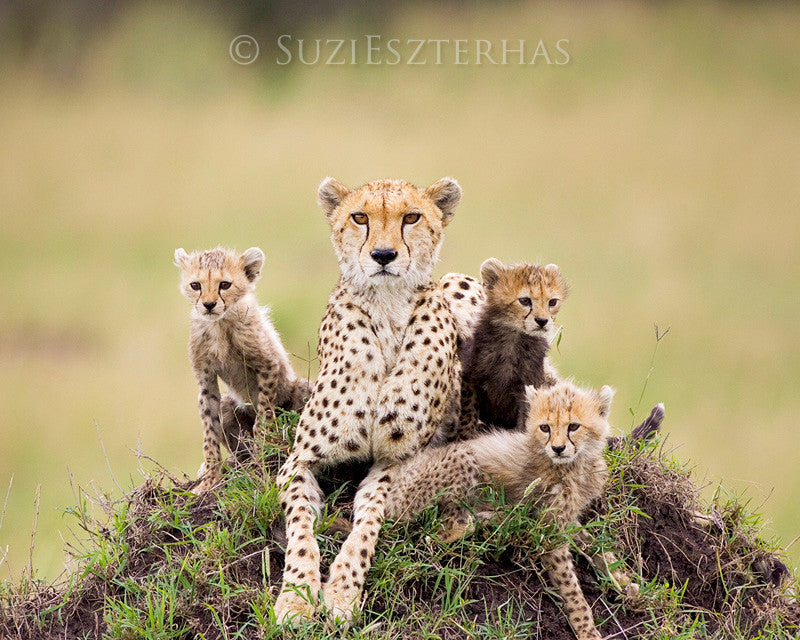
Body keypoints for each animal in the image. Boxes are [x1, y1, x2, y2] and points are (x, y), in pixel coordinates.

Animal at [273, 177, 463, 624]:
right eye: (360, 217)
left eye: (411, 217)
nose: (383, 255)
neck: (388, 308)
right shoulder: (298, 461)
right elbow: (300, 528)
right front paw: (297, 597)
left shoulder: (397, 461)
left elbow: (366, 524)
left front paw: (342, 593)